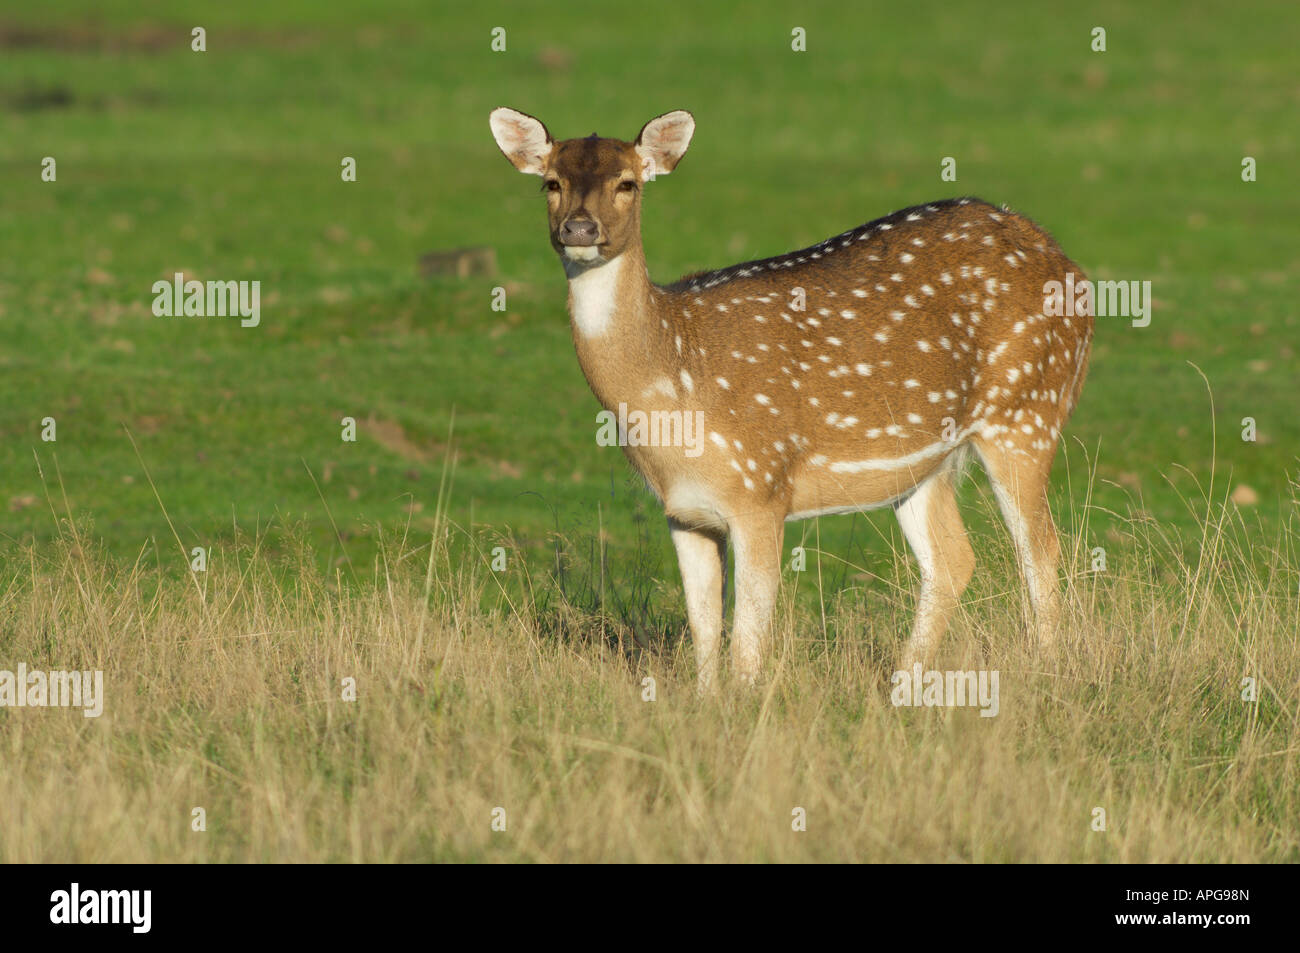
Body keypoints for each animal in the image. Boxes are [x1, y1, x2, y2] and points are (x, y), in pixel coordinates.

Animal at [489, 107, 1093, 692]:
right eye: (550, 182)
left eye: (628, 183)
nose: (579, 227)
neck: (677, 383)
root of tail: (1071, 266)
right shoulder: (684, 511)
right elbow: (704, 629)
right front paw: (705, 705)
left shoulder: (761, 487)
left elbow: (747, 640)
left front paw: (743, 703)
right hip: (924, 463)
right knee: (952, 560)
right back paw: (900, 688)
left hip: (1027, 411)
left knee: (1042, 552)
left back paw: (1046, 672)